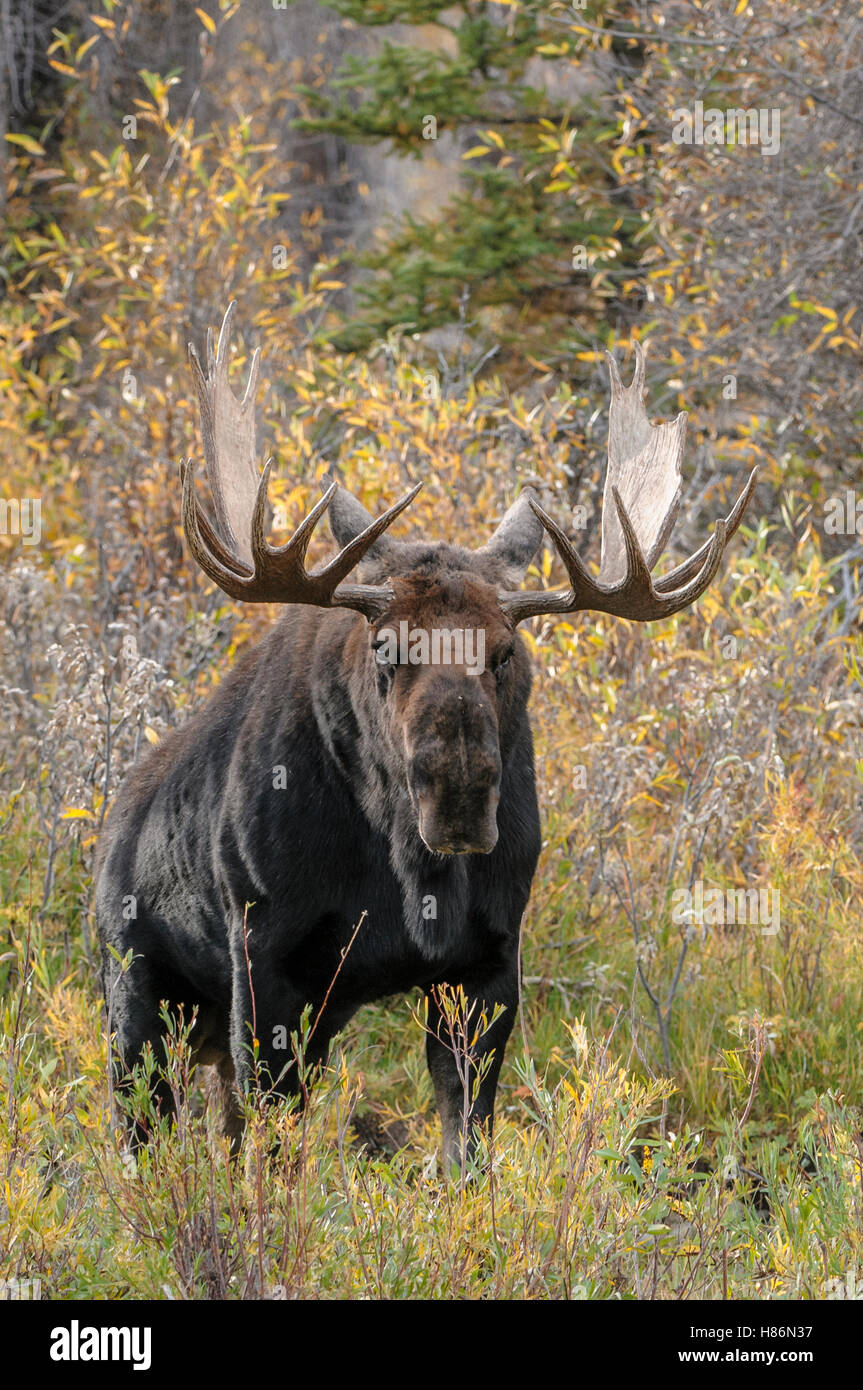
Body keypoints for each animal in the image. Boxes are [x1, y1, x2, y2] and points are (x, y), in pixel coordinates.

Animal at [94, 302, 756, 1170]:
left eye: (505, 651)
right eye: (385, 647)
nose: (459, 792)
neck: (411, 875)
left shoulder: (486, 964)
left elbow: (463, 1146)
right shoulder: (262, 961)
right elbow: (273, 1155)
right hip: (133, 987)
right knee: (142, 1132)